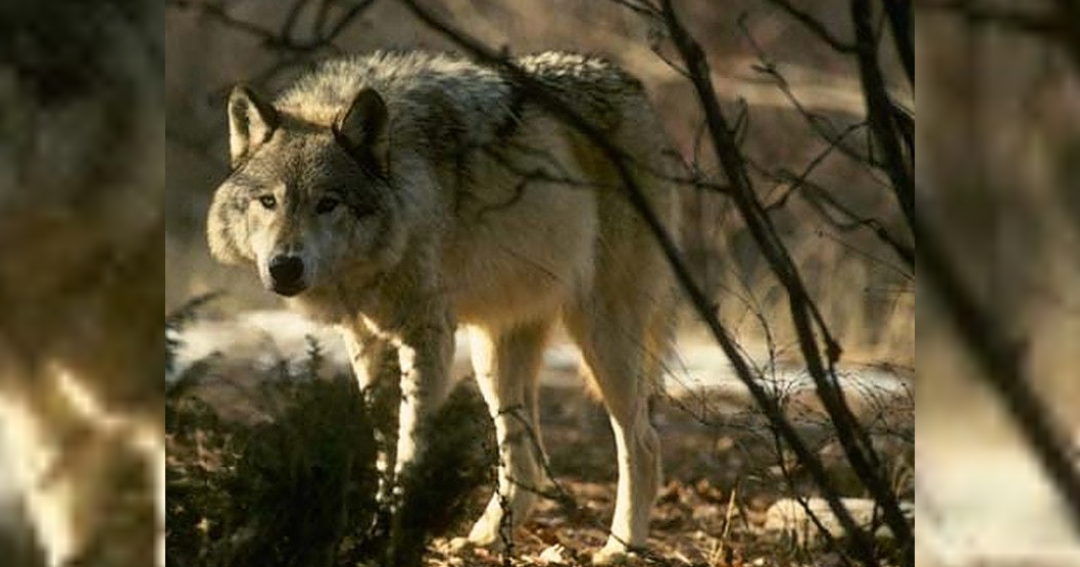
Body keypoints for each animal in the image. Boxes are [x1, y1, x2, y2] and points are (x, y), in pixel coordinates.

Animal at [208, 50, 680, 564]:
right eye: (268, 201)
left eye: (327, 203)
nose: (284, 267)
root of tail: (634, 88)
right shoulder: (364, 340)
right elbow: (382, 449)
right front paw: (373, 529)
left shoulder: (427, 338)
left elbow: (410, 453)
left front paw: (395, 535)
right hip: (492, 356)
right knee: (528, 465)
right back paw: (483, 539)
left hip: (601, 338)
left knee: (644, 445)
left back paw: (621, 547)